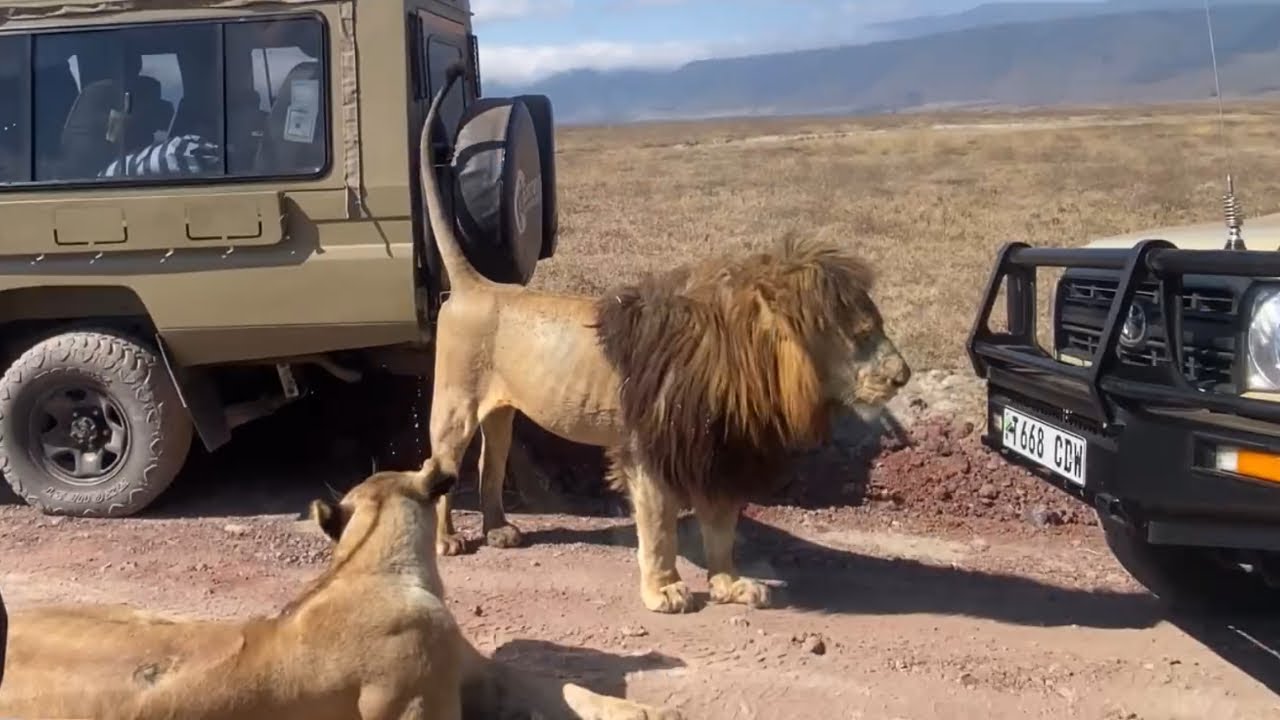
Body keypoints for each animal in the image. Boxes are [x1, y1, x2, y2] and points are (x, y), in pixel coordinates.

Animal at [420, 64, 912, 615]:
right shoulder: (652, 452)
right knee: (436, 465)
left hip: (503, 412)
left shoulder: (720, 452)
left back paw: (499, 530)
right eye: (863, 334)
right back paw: (447, 540)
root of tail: (477, 283)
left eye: (877, 327)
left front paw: (730, 585)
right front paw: (666, 590)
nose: (904, 375)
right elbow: (659, 529)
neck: (743, 364)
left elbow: (721, 529)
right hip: (456, 407)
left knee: (492, 459)